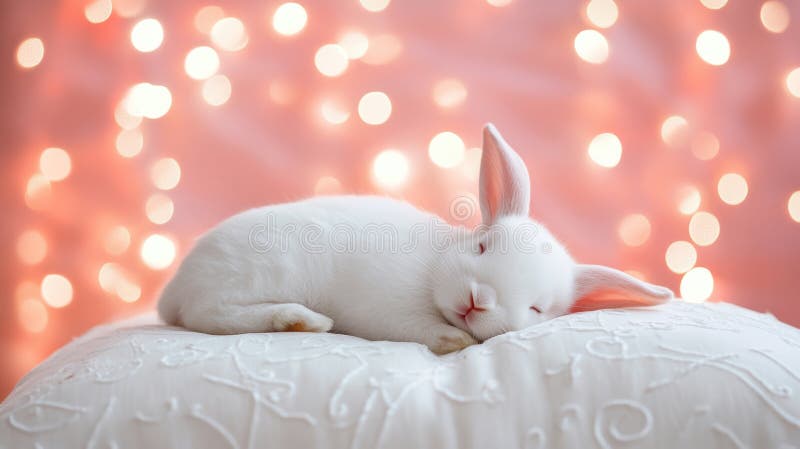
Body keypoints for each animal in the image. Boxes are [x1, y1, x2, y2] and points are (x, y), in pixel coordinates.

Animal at [157, 124, 673, 354]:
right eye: (481, 247)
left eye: (536, 308)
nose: (478, 301)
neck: (432, 277)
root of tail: (175, 288)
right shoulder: (385, 313)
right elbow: (418, 329)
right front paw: (452, 339)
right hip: (253, 273)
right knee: (209, 314)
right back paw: (301, 320)